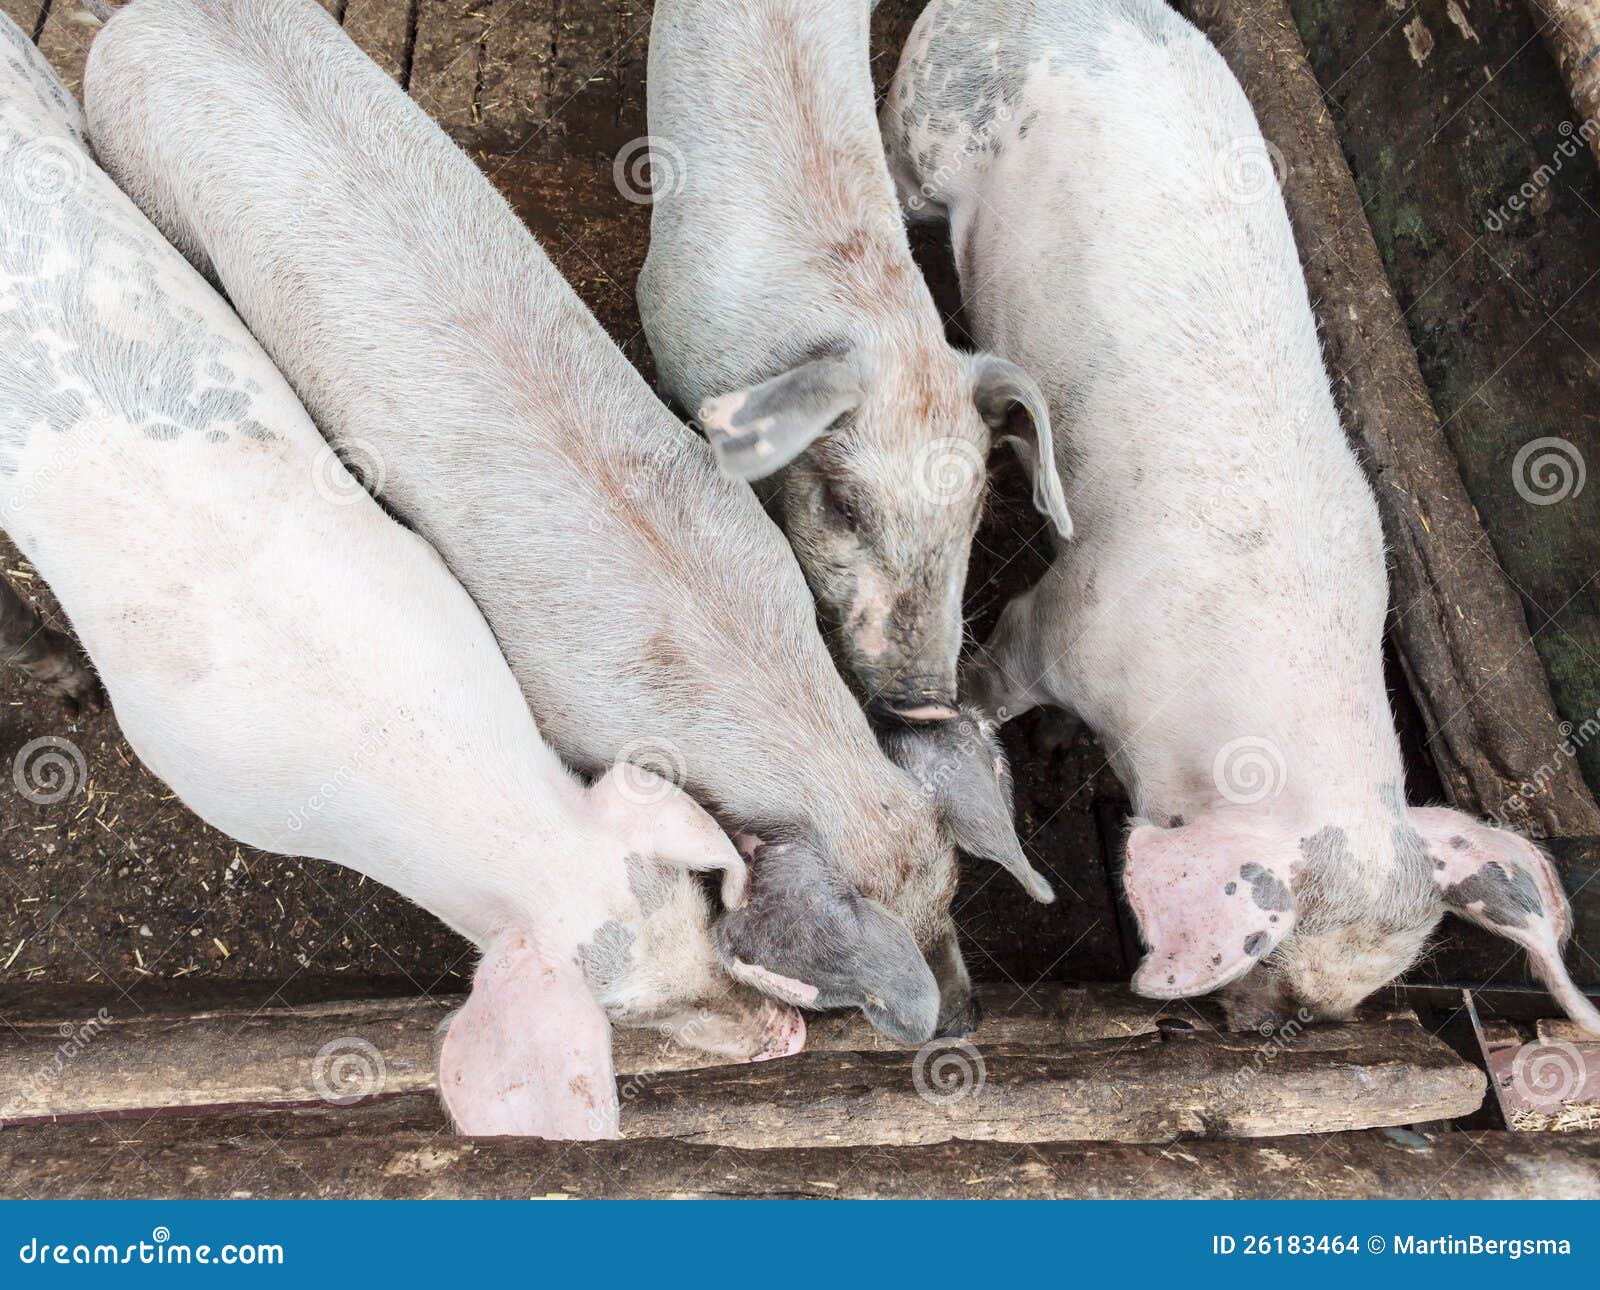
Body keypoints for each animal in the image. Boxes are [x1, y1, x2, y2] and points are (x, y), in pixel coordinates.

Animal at [881, 0, 1600, 1034]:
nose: (1264, 1029)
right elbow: (997, 672)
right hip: (929, 121)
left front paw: (1057, 753)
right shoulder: (1063, 617)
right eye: (1269, 955)